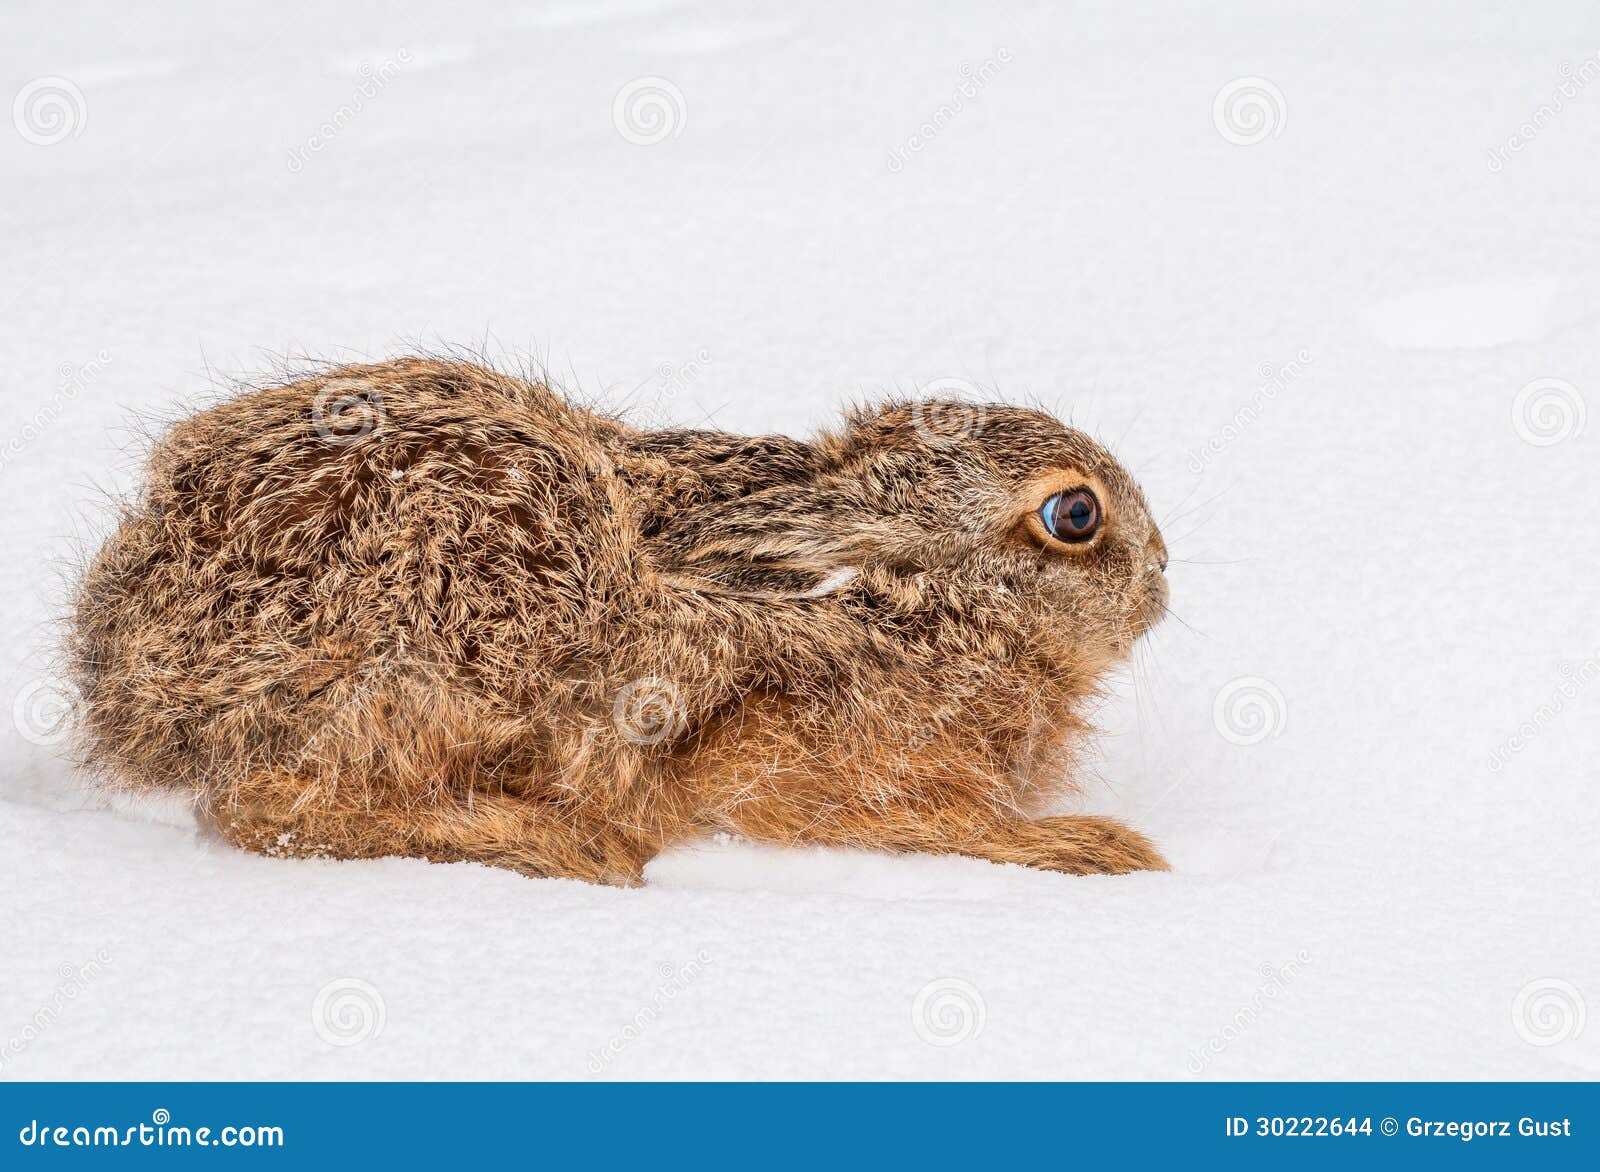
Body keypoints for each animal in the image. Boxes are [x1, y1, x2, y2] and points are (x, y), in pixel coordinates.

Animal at [68, 356, 1172, 885]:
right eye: (1075, 517)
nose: (1161, 582)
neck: (929, 615)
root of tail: (126, 677)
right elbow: (947, 827)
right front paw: (1095, 846)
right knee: (264, 809)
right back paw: (573, 849)